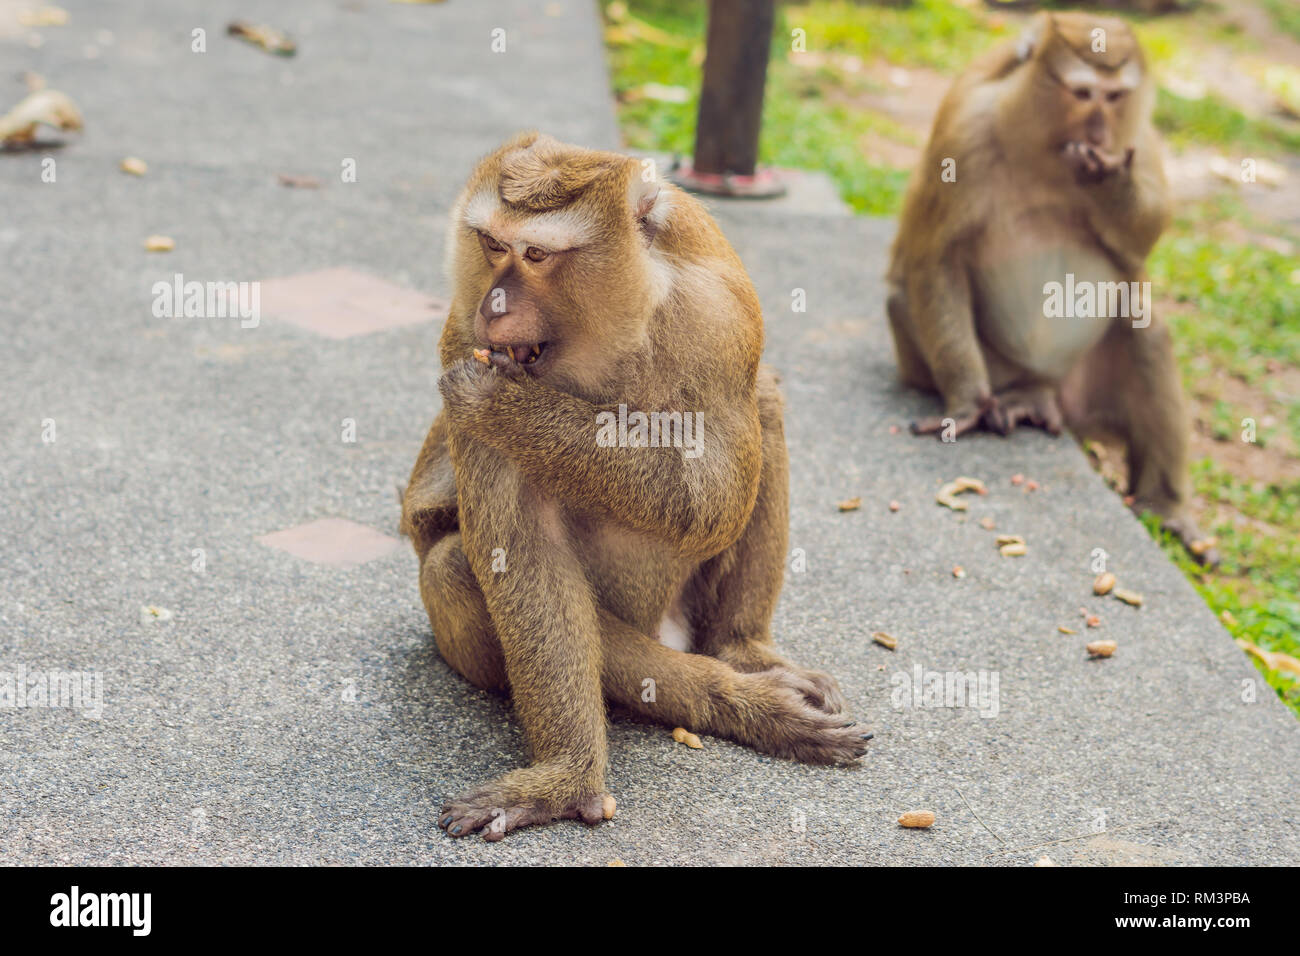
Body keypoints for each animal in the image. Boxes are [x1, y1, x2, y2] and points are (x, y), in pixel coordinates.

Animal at [401, 132, 871, 841]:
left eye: (536, 254)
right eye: (491, 244)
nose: (494, 305)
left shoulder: (718, 319)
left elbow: (717, 498)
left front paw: (510, 410)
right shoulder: (462, 335)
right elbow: (520, 551)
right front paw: (566, 780)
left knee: (761, 400)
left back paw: (740, 651)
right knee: (454, 565)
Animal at [886, 11, 1217, 565]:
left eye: (1115, 96)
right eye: (1082, 94)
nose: (1098, 131)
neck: (1043, 155)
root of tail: (1055, 387)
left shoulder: (1137, 136)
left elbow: (1149, 228)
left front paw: (1111, 183)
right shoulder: (966, 129)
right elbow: (937, 258)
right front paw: (965, 405)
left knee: (1145, 331)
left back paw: (1164, 504)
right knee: (904, 297)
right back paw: (1020, 397)